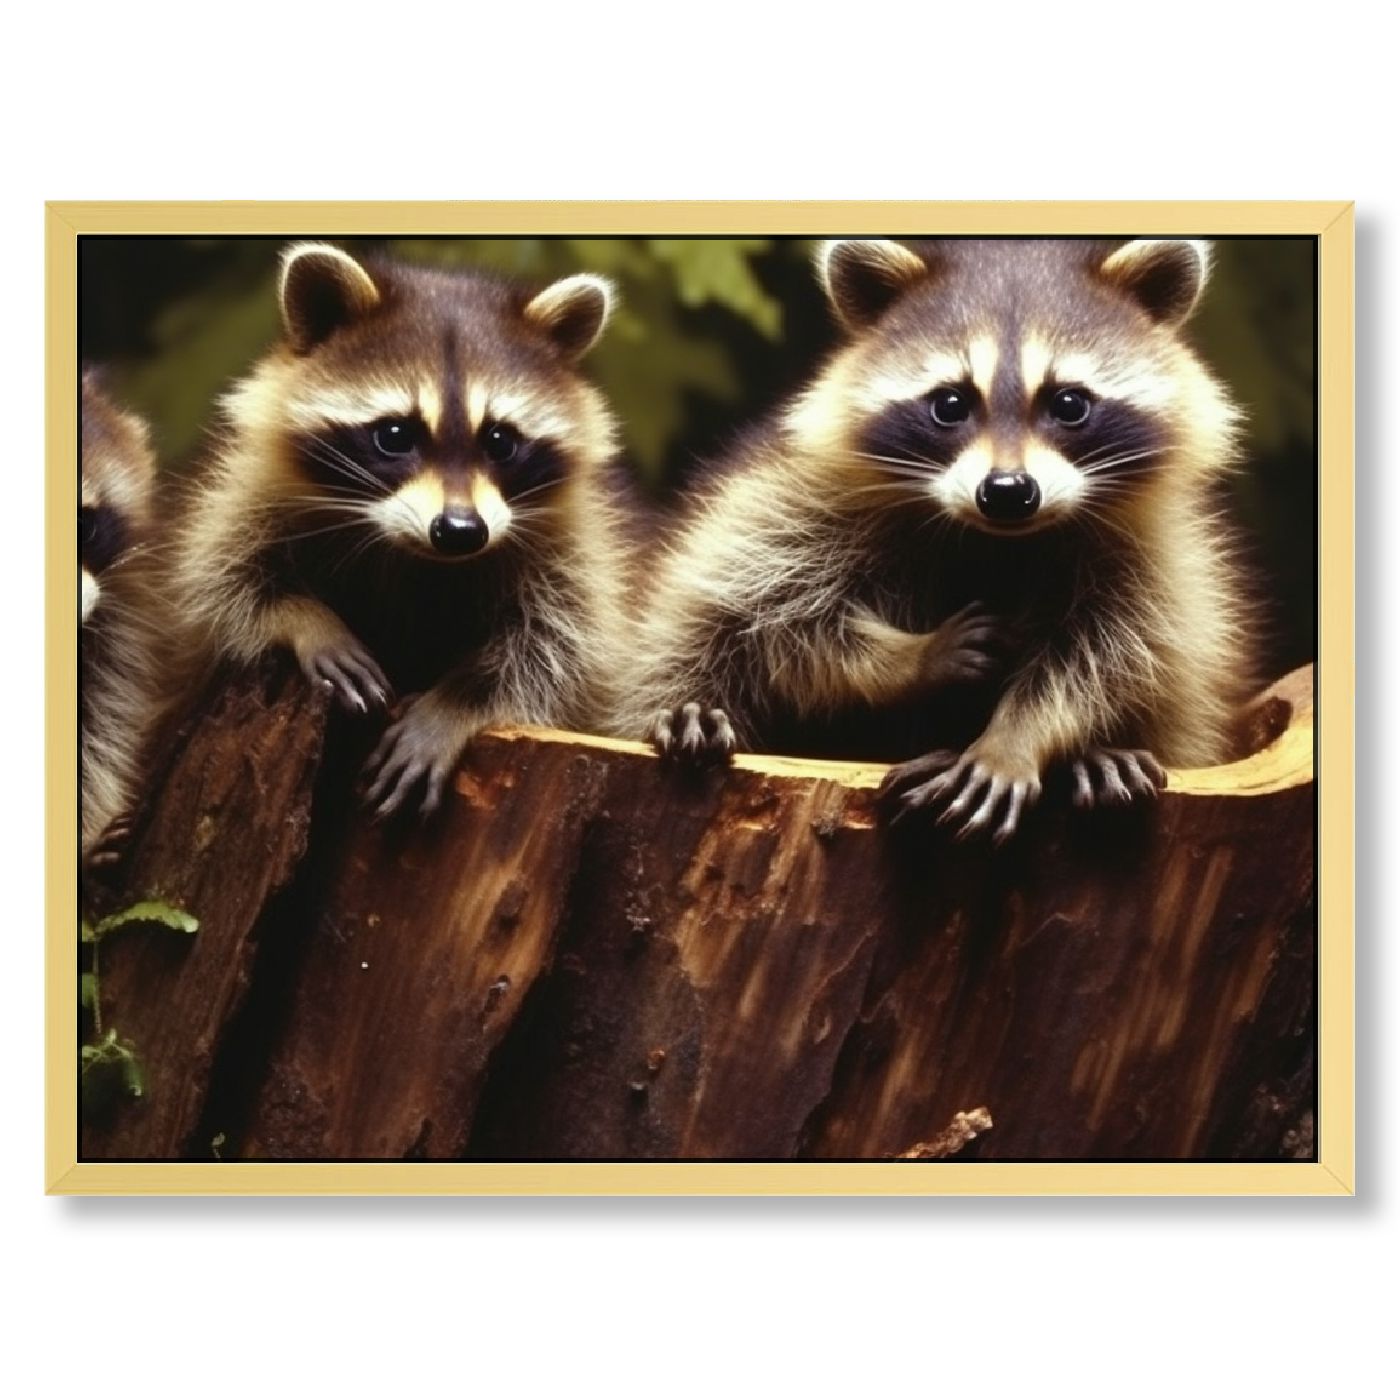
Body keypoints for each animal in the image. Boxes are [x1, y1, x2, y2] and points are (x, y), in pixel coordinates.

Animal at [172, 243, 627, 817]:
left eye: (500, 441)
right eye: (394, 435)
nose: (460, 530)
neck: (413, 555)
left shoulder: (566, 544)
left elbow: (557, 648)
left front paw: (456, 702)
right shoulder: (250, 490)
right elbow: (222, 584)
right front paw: (305, 620)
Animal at [620, 238, 1252, 841]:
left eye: (1069, 403)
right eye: (950, 403)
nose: (1007, 492)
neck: (995, 538)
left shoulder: (1149, 549)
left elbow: (1114, 653)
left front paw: (1017, 737)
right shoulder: (797, 505)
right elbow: (774, 621)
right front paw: (915, 656)